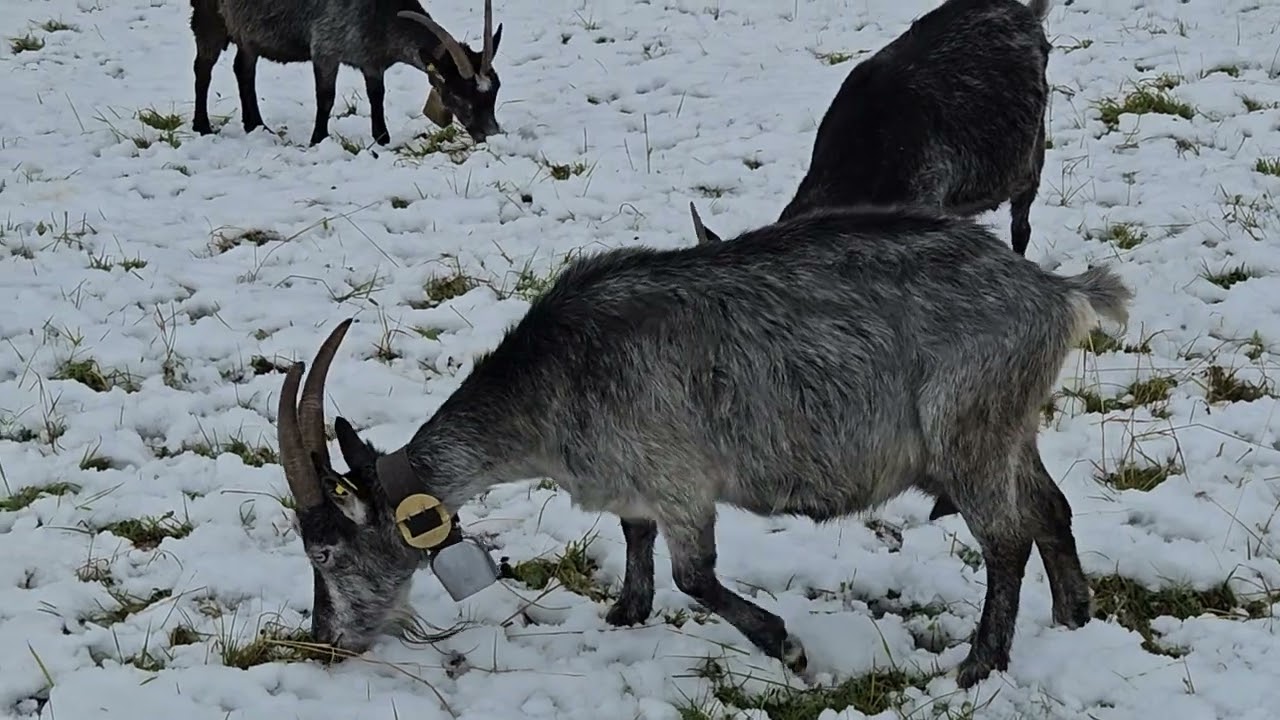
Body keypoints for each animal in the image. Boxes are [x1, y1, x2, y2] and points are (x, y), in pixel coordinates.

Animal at [190, 0, 503, 146]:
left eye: (494, 93)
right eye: (457, 95)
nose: (492, 134)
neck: (380, 15)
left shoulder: (372, 60)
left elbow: (377, 95)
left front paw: (382, 138)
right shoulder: (326, 47)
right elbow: (326, 96)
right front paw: (318, 139)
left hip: (247, 30)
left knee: (243, 68)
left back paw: (256, 125)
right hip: (210, 14)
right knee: (202, 68)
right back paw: (202, 126)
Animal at [276, 204, 1129, 688]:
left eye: (326, 554)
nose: (326, 643)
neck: (555, 380)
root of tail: (1059, 293)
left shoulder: (679, 476)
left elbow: (694, 575)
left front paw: (787, 648)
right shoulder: (636, 484)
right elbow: (635, 535)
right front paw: (624, 613)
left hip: (968, 429)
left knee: (1006, 537)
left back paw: (979, 664)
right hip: (1013, 426)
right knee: (1050, 508)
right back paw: (1075, 617)